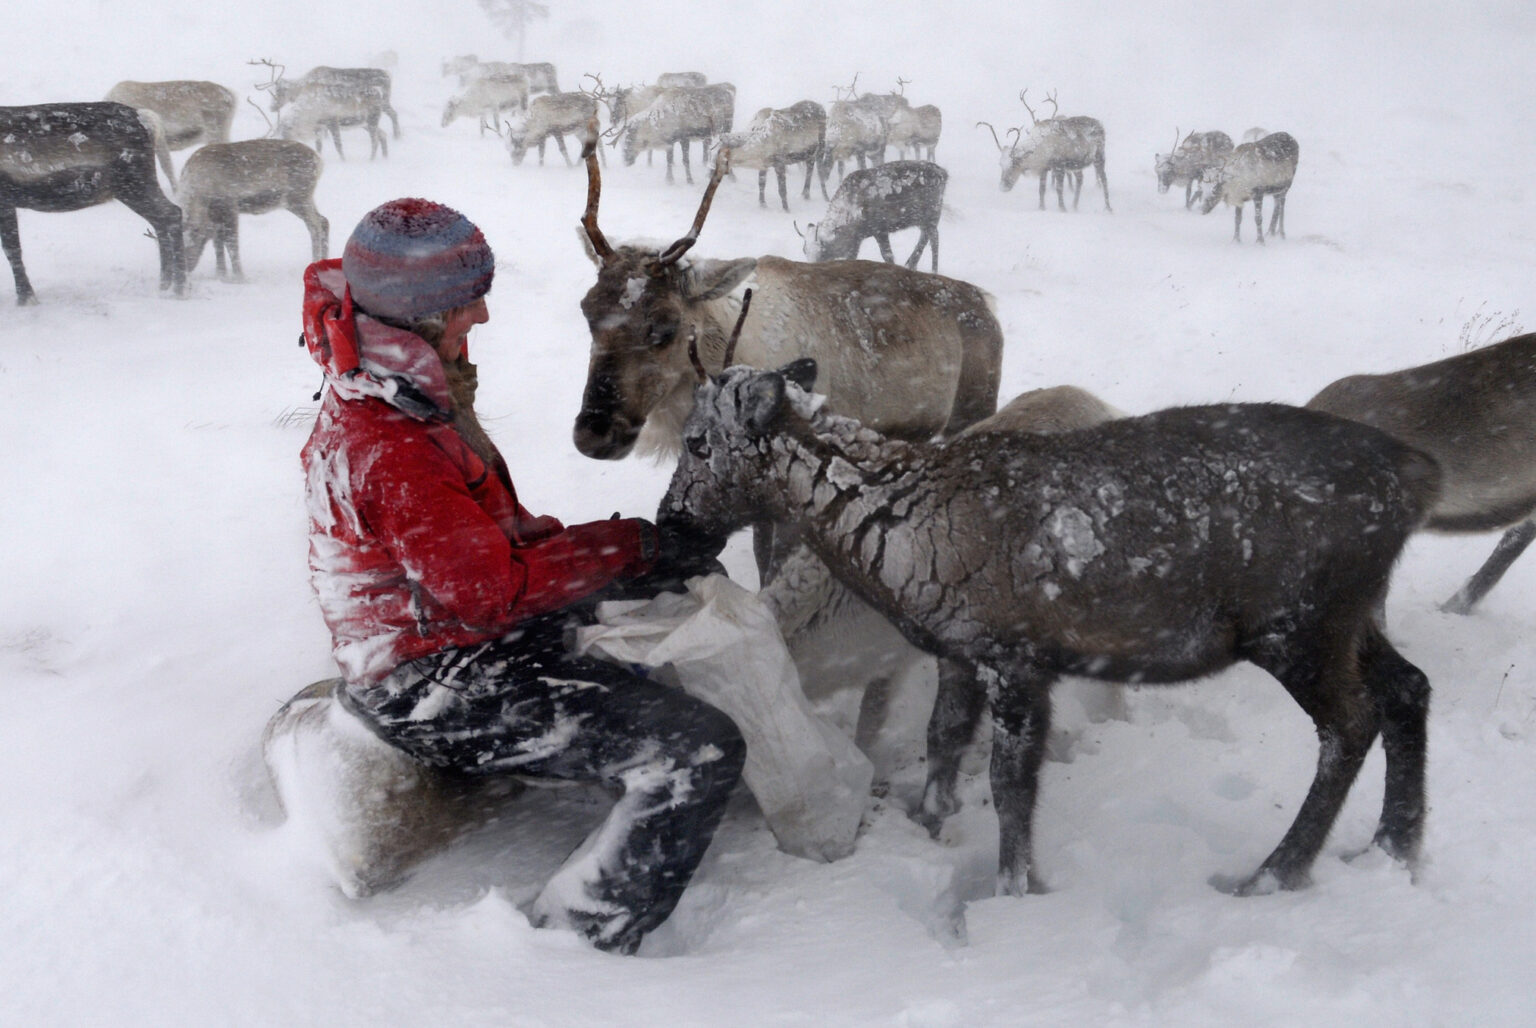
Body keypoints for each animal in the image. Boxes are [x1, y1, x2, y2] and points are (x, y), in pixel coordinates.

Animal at [1, 102, 184, 305]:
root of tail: (145, 119)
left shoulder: (5, 201)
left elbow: (12, 250)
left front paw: (26, 298)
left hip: (135, 183)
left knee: (172, 213)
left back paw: (178, 289)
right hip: (134, 186)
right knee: (161, 220)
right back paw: (164, 285)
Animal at [178, 139, 328, 281]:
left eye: (187, 248)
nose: (185, 271)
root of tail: (319, 161)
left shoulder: (230, 207)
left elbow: (231, 244)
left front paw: (239, 277)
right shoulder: (216, 217)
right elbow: (218, 244)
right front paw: (221, 275)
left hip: (298, 198)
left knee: (315, 225)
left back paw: (315, 262)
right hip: (297, 201)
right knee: (323, 220)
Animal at [659, 356, 1439, 898]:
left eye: (696, 442)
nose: (669, 523)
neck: (896, 542)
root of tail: (1416, 477)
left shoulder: (1015, 653)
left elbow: (1011, 784)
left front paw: (1017, 886)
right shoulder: (959, 651)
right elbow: (943, 739)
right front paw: (932, 826)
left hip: (1299, 623)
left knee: (1351, 723)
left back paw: (1275, 873)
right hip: (1352, 616)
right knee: (1409, 687)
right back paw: (1394, 846)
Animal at [799, 159, 947, 271]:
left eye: (823, 249)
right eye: (804, 250)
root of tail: (944, 173)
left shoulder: (880, 230)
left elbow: (887, 255)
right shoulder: (857, 239)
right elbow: (851, 256)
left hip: (931, 215)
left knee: (933, 239)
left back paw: (930, 269)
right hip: (923, 220)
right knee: (928, 236)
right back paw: (913, 264)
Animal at [982, 89, 1110, 213]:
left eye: (1015, 164)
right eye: (1000, 164)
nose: (1003, 187)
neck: (1041, 150)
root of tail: (1101, 125)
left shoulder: (1059, 165)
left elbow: (1059, 189)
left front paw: (1062, 209)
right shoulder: (1044, 168)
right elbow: (1042, 189)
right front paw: (1041, 208)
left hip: (1099, 156)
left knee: (1104, 179)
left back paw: (1108, 208)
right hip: (1076, 165)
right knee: (1080, 180)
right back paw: (1074, 206)